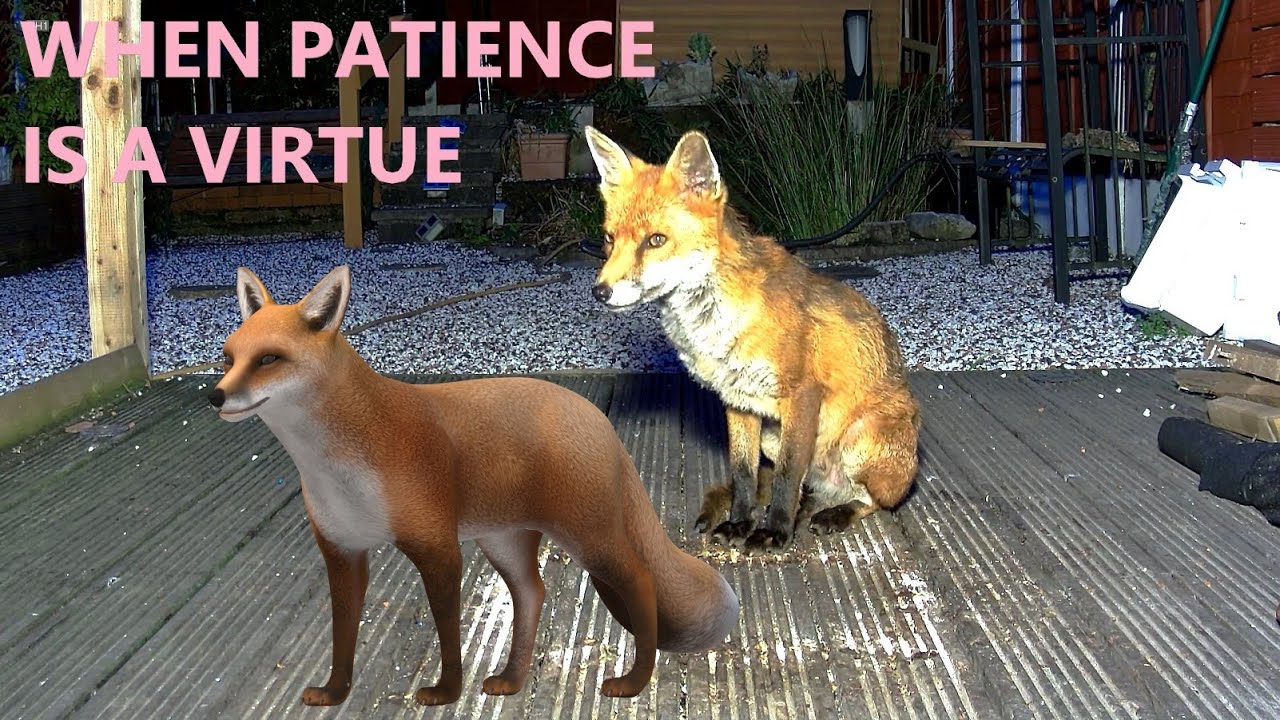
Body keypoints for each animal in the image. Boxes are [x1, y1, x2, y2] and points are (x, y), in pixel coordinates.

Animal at [208, 265, 739, 706]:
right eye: (228, 358)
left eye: (269, 359)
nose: (216, 395)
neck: (340, 467)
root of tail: (593, 414)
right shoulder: (342, 552)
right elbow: (343, 632)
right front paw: (335, 693)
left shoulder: (438, 549)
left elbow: (447, 630)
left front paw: (446, 692)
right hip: (503, 540)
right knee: (532, 593)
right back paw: (513, 680)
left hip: (590, 538)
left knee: (641, 581)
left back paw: (634, 681)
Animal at [583, 125, 921, 552]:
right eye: (610, 239)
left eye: (656, 240)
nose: (600, 292)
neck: (713, 326)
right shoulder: (738, 401)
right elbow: (744, 474)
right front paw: (740, 522)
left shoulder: (802, 394)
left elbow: (787, 476)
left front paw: (774, 531)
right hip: (773, 439)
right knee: (808, 489)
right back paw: (808, 508)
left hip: (862, 439)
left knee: (874, 499)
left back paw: (834, 514)